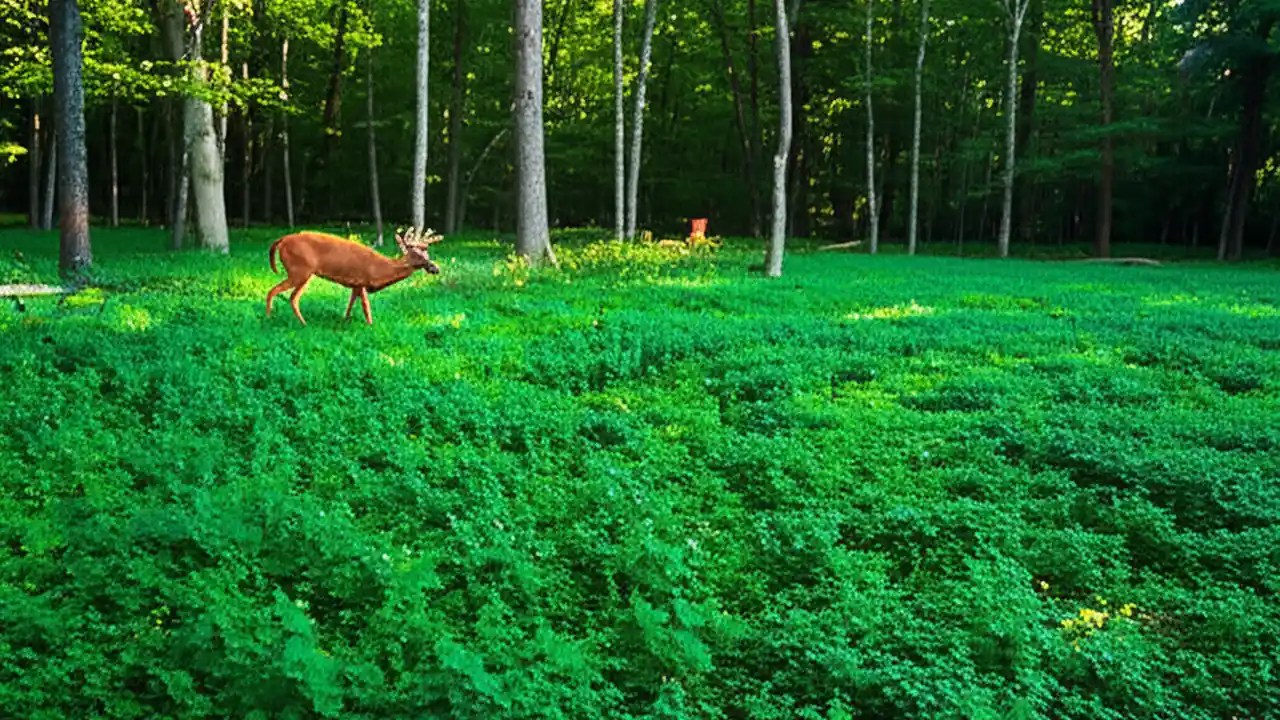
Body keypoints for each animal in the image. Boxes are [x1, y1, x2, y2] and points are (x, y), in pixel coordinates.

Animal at [266, 227, 443, 326]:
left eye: (427, 254)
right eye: (418, 255)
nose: (436, 268)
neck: (380, 270)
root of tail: (282, 240)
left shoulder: (355, 285)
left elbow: (350, 305)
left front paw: (345, 319)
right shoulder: (361, 280)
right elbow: (366, 307)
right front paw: (371, 325)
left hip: (304, 274)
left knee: (292, 297)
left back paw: (303, 323)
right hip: (299, 270)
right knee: (274, 292)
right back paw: (269, 318)